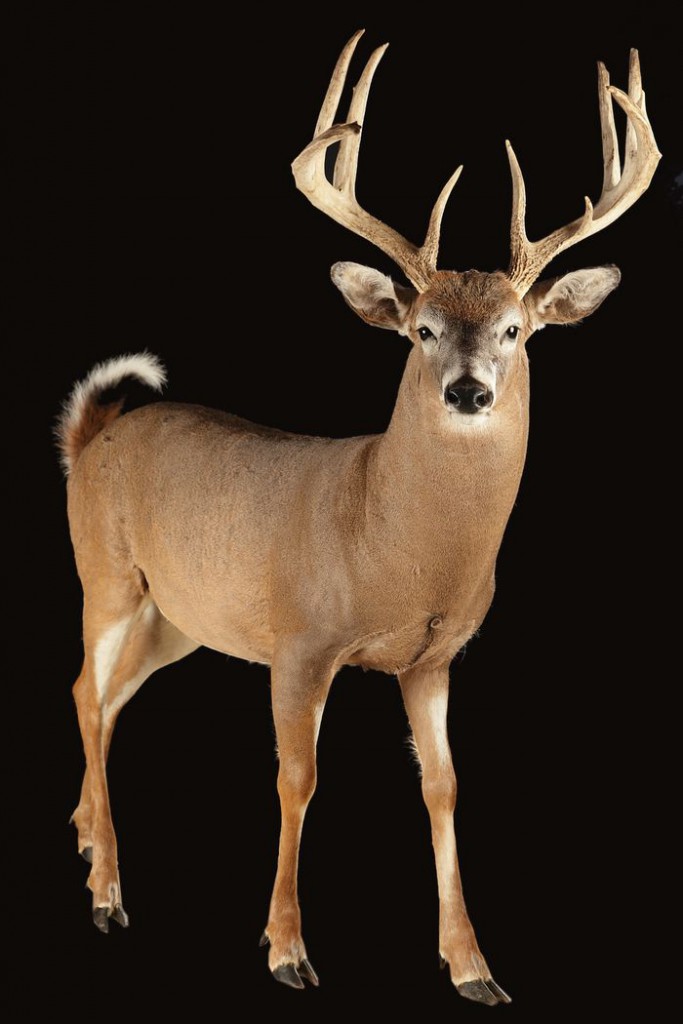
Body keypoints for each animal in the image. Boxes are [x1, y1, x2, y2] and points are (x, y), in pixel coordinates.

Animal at [57, 31, 659, 1004]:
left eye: (515, 330)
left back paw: (84, 841)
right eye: (420, 330)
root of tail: (91, 434)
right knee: (83, 687)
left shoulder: (434, 656)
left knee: (108, 699)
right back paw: (109, 890)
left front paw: (472, 967)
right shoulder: (302, 642)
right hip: (105, 575)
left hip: (179, 619)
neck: (388, 540)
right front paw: (286, 949)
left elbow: (444, 787)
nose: (468, 390)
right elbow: (297, 779)